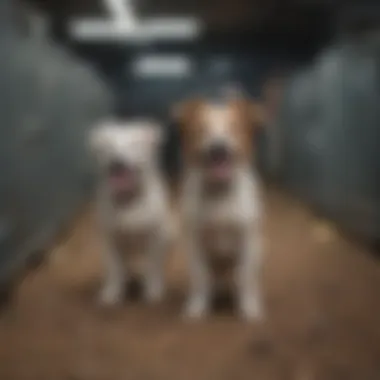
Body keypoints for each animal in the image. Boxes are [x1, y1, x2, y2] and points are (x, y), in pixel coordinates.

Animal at [89, 120, 172, 308]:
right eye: (109, 146)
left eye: (134, 144)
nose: (117, 161)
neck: (128, 200)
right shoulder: (111, 240)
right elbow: (114, 269)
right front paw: (112, 292)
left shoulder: (154, 238)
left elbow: (153, 266)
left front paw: (153, 290)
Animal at [174, 95, 266, 320]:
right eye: (201, 130)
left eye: (233, 128)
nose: (218, 148)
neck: (220, 195)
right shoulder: (195, 243)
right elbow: (201, 277)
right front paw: (197, 306)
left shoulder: (248, 240)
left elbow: (245, 276)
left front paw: (249, 308)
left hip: (259, 250)